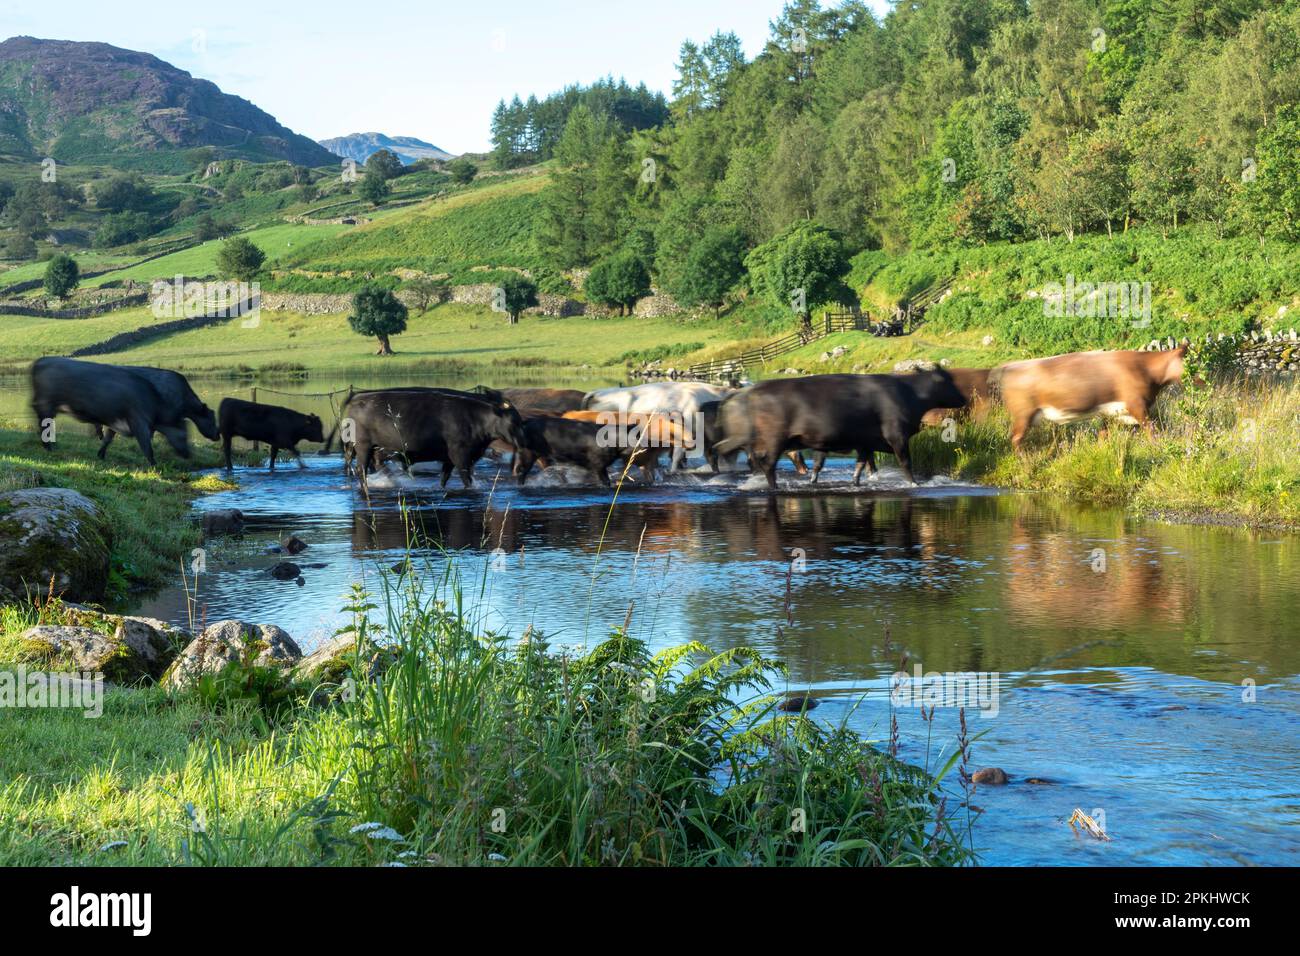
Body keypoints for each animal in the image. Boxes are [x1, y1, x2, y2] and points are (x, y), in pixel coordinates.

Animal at [30, 357, 211, 467]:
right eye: (184, 435)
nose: (188, 455)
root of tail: (42, 360)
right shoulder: (139, 423)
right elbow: (147, 447)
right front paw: (154, 465)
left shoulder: (115, 422)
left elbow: (107, 439)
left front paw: (101, 455)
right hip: (46, 404)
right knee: (43, 423)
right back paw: (48, 446)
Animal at [336, 388, 525, 489]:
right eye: (514, 421)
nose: (524, 440)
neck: (477, 420)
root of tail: (357, 398)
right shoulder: (460, 454)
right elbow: (466, 478)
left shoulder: (450, 457)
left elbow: (444, 477)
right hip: (363, 446)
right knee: (361, 469)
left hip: (377, 449)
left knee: (376, 466)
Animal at [513, 417, 647, 487]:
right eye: (637, 436)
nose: (647, 444)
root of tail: (525, 423)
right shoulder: (598, 463)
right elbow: (605, 480)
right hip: (528, 453)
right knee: (521, 471)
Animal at [713, 370, 968, 490]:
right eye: (949, 382)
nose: (965, 398)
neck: (910, 394)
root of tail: (752, 390)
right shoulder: (896, 435)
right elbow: (905, 461)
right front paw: (914, 483)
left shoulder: (864, 442)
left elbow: (859, 465)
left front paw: (855, 483)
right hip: (773, 439)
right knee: (764, 462)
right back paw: (770, 485)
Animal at [994, 346, 1187, 451]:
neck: (1144, 368)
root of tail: (1009, 366)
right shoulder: (1137, 405)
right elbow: (1151, 430)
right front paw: (1158, 447)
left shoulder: (1111, 412)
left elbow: (1103, 434)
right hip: (1023, 413)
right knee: (1016, 437)